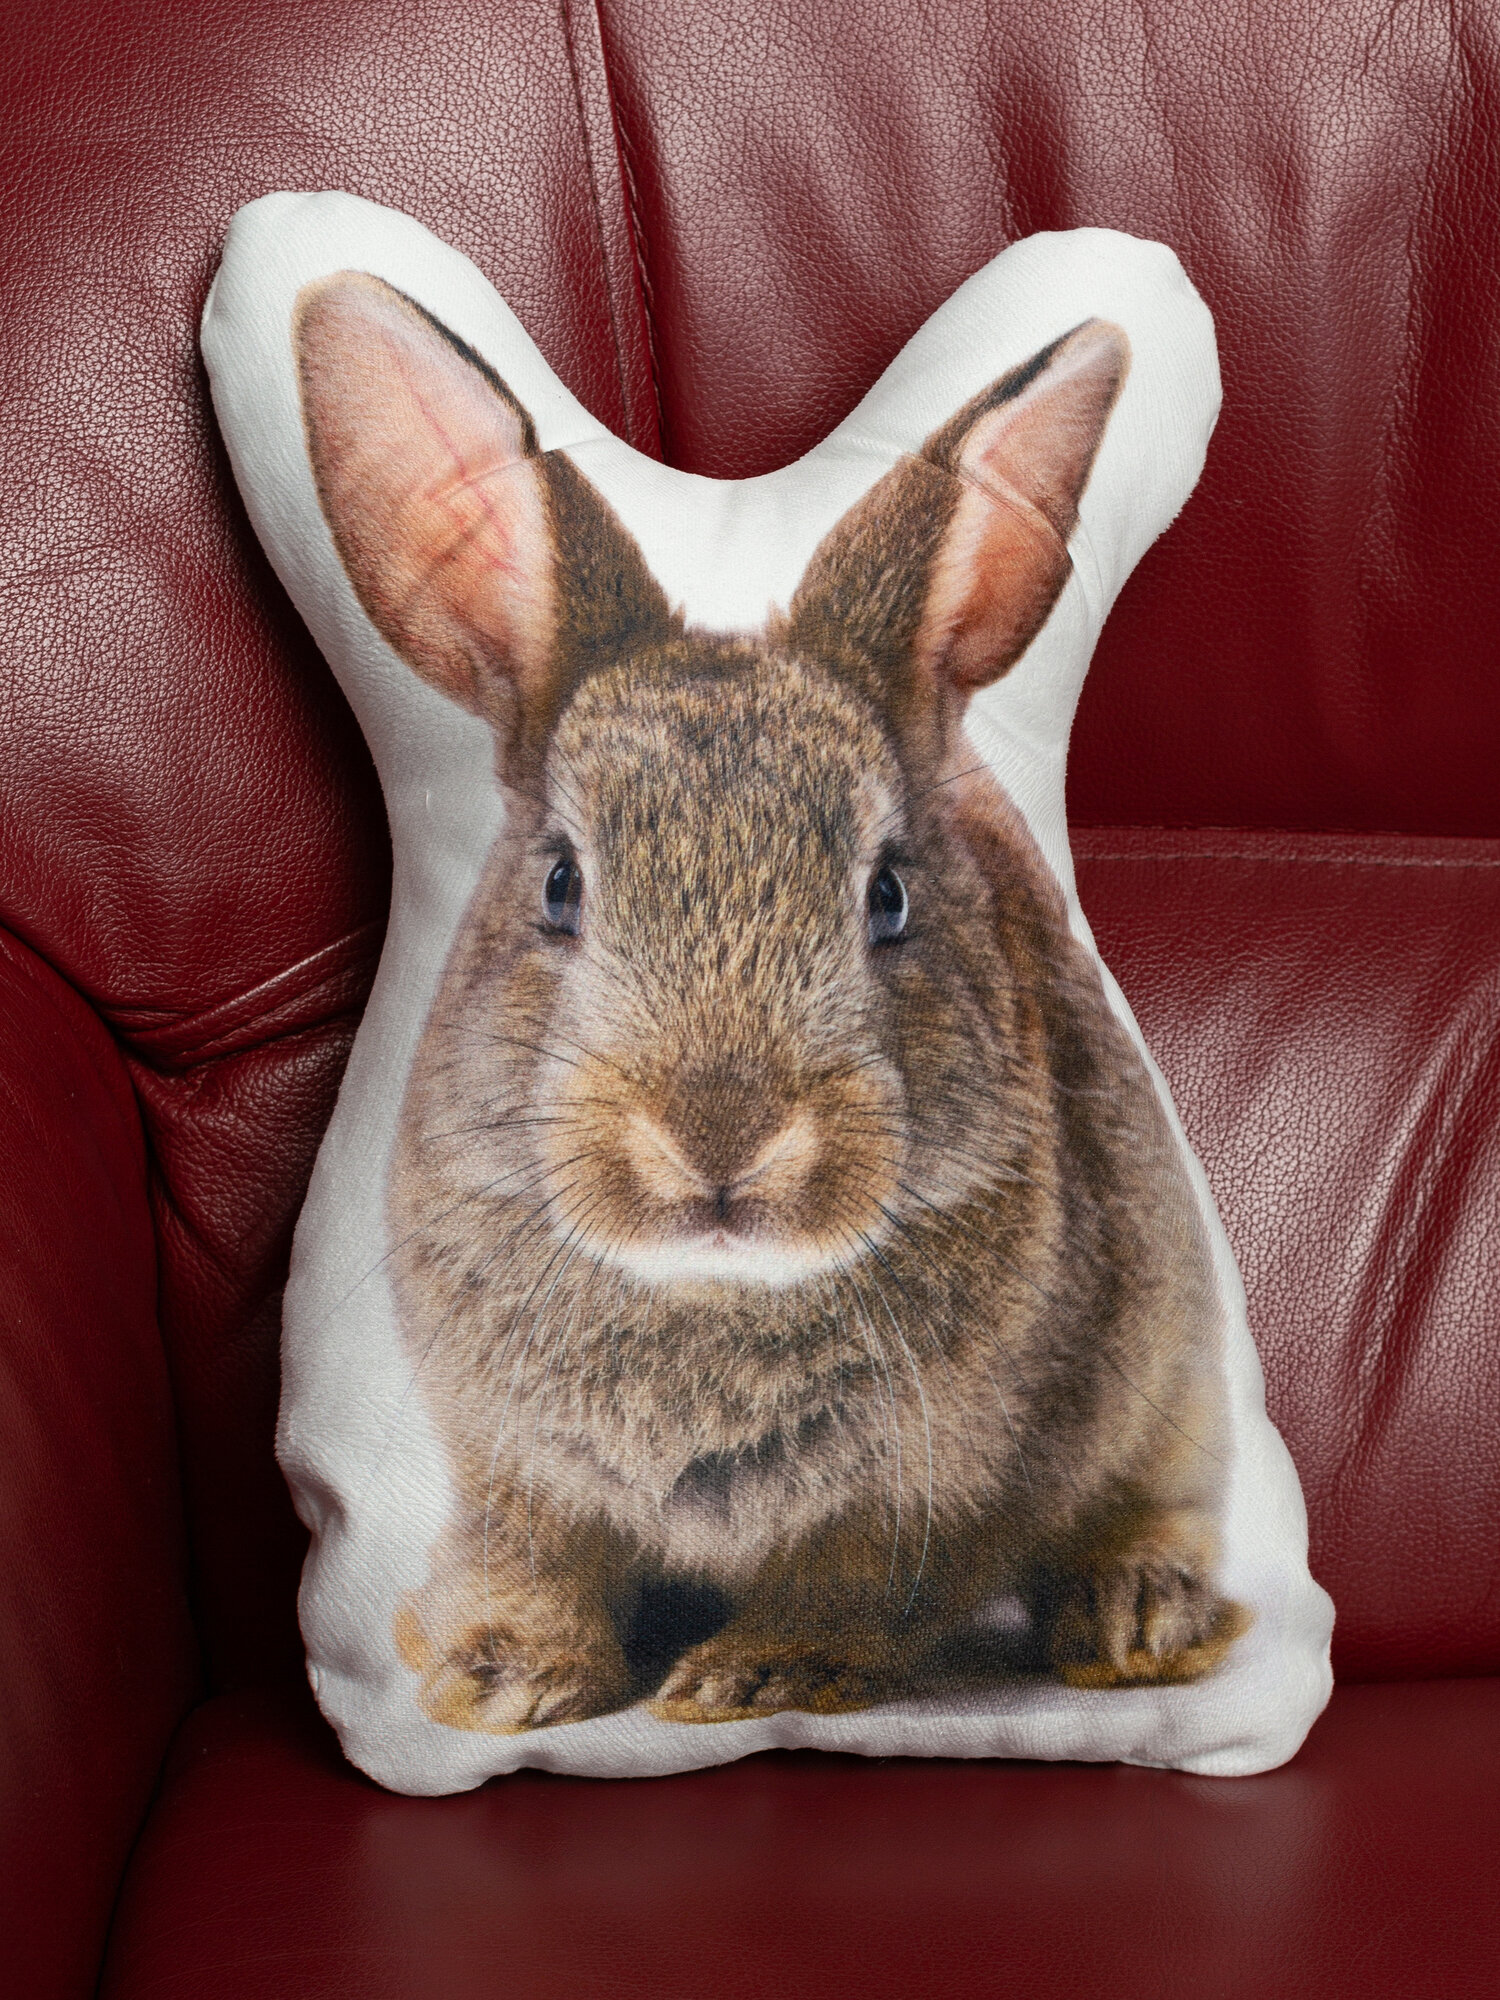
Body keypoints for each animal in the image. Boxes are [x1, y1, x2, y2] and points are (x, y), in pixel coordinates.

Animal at [295, 271, 1247, 1734]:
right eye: (561, 884)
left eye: (889, 897)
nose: (721, 1137)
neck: (709, 1291)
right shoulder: (516, 1476)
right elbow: (540, 1562)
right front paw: (503, 1678)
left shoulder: (923, 1498)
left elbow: (851, 1587)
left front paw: (754, 1676)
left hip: (1175, 1381)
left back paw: (1136, 1618)